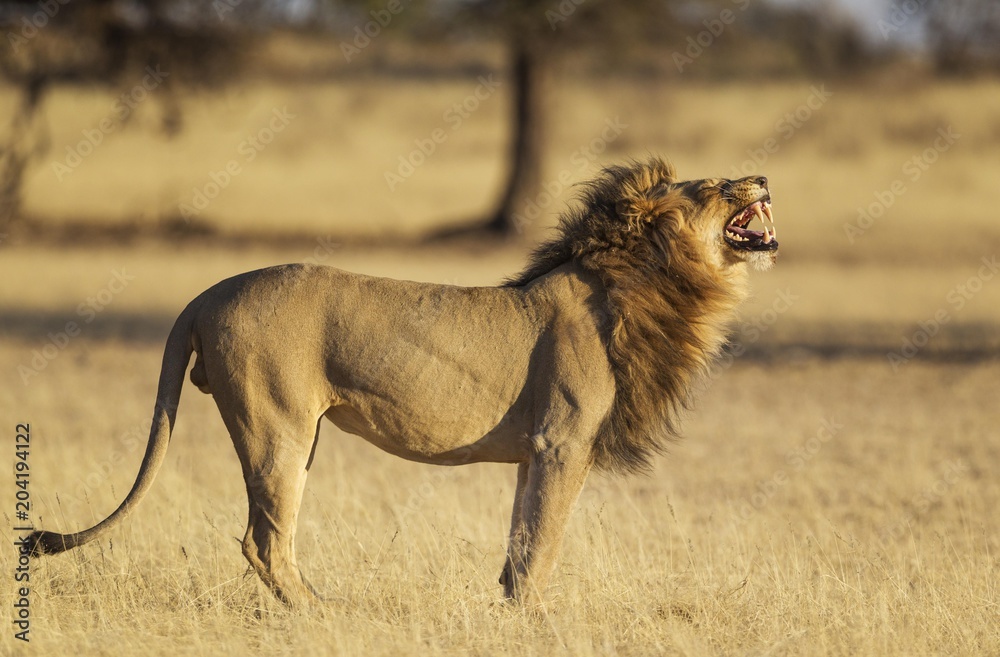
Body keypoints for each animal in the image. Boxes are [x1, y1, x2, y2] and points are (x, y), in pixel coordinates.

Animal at [27, 158, 778, 606]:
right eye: (715, 188)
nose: (763, 177)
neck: (650, 284)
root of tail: (205, 294)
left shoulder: (532, 455)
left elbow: (518, 543)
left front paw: (506, 613)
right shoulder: (561, 444)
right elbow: (542, 547)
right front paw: (536, 623)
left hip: (296, 434)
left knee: (267, 538)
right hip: (277, 427)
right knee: (264, 541)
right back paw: (321, 616)